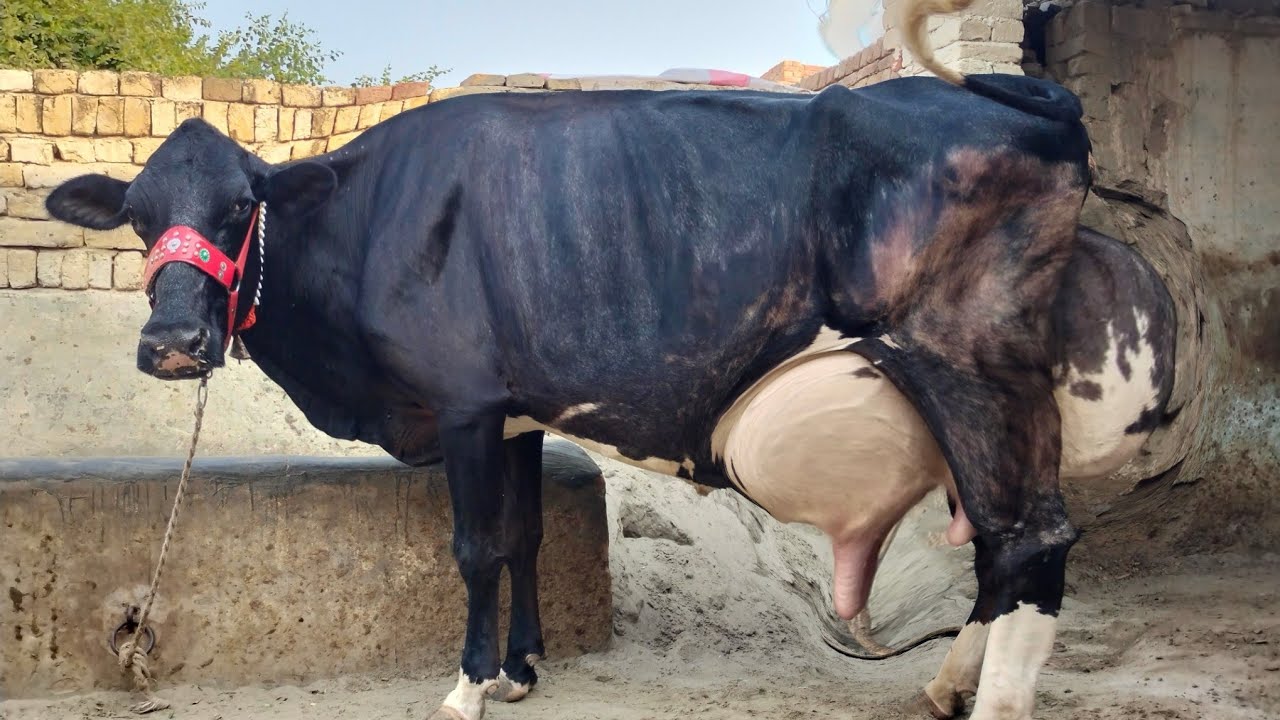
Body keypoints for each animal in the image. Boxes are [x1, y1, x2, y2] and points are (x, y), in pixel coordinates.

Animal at [42, 0, 1177, 717]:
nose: (172, 346)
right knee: (997, 540)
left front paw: (465, 689)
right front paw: (521, 670)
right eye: (137, 217)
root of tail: (999, 91)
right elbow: (524, 538)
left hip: (968, 362)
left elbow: (474, 548)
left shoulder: (462, 403)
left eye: (242, 208)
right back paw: (943, 684)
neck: (368, 225)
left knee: (1030, 536)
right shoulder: (510, 408)